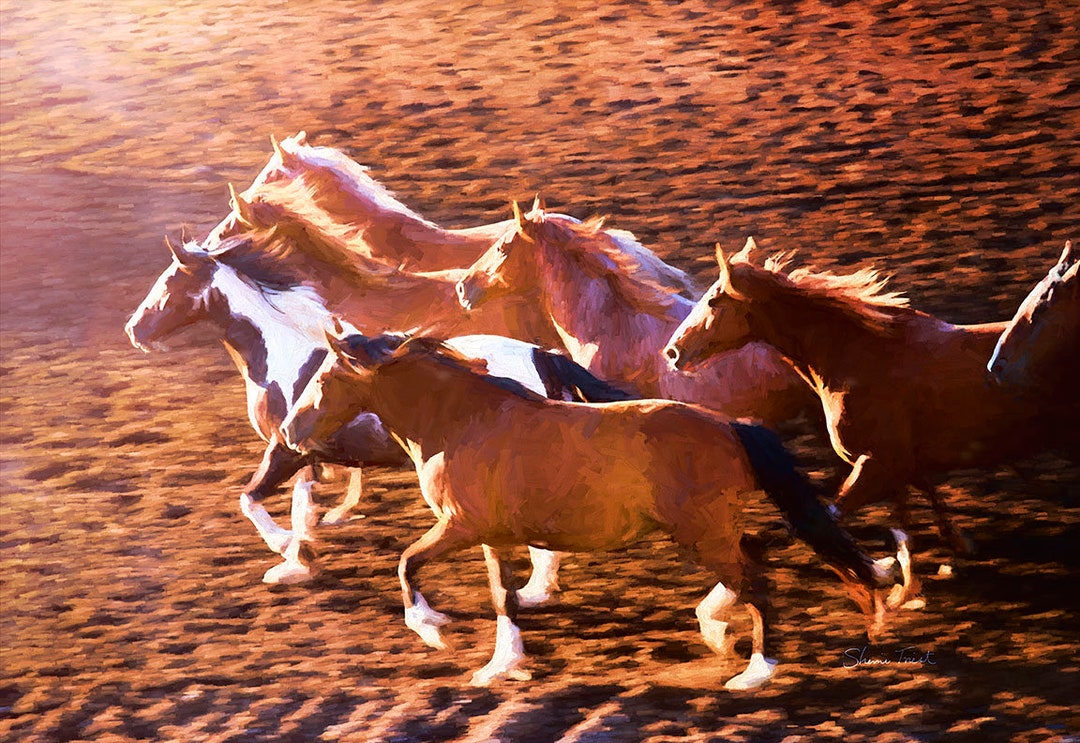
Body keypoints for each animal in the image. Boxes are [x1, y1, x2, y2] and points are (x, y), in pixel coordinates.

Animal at [125, 235, 633, 595]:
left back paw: (533, 592)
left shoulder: (285, 447)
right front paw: (298, 564)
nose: (134, 330)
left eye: (169, 284)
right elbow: (300, 507)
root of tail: (542, 355)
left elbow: (251, 500)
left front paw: (285, 551)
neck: (281, 354)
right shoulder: (304, 449)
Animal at [281, 330, 915, 689]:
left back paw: (754, 672)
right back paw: (716, 630)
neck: (458, 422)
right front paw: (501, 666)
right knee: (755, 561)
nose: (288, 432)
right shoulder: (490, 534)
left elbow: (407, 563)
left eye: (325, 377)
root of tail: (733, 427)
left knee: (757, 580)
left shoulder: (458, 526)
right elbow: (502, 597)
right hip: (711, 530)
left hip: (701, 532)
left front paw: (433, 632)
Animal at [663, 240, 1058, 551]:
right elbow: (913, 507)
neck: (858, 357)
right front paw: (952, 543)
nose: (672, 352)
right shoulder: (899, 465)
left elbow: (827, 516)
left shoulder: (876, 464)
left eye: (714, 301)